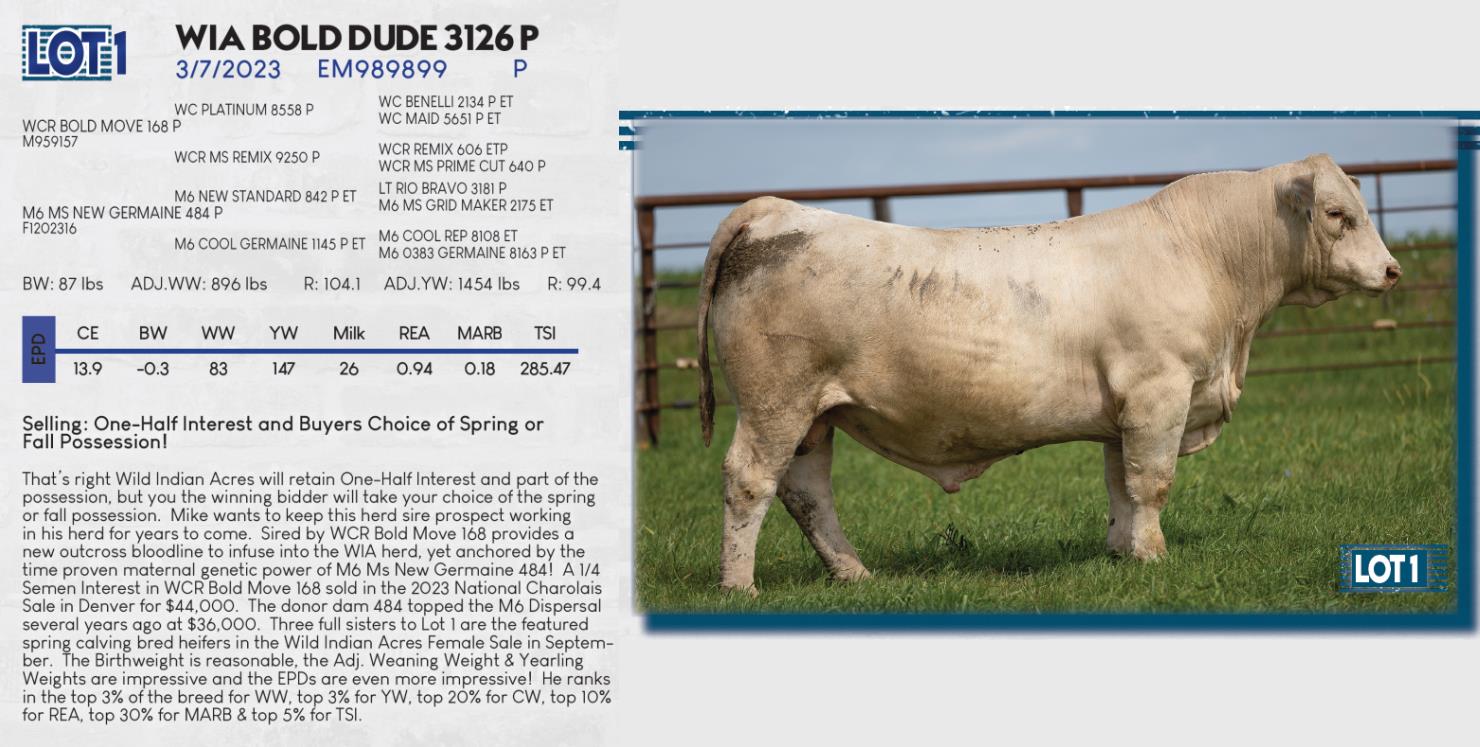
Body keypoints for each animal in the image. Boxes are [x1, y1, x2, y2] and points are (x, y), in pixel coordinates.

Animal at [694, 154, 1402, 594]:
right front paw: (1154, 557)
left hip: (814, 416)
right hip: (776, 402)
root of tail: (775, 211)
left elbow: (1121, 485)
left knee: (808, 493)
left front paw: (1122, 553)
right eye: (1337, 214)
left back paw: (854, 574)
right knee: (750, 482)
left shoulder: (1127, 412)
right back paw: (739, 585)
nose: (1392, 270)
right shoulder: (1160, 392)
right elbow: (1152, 484)